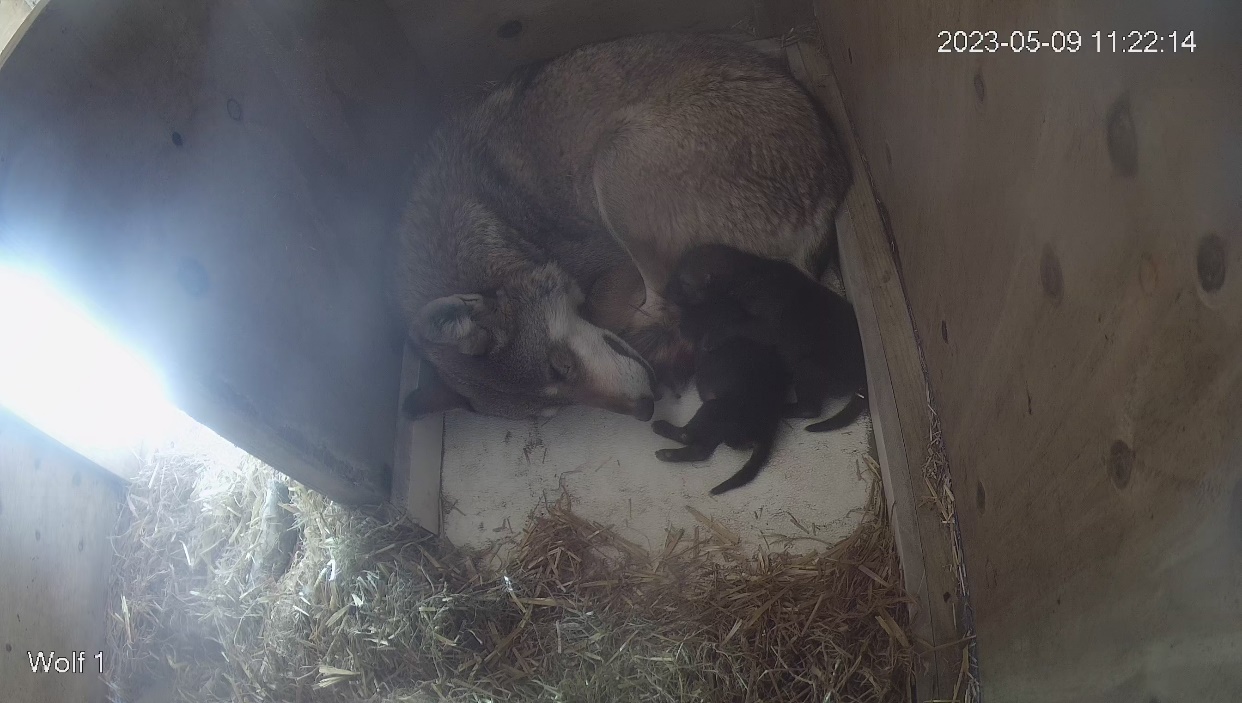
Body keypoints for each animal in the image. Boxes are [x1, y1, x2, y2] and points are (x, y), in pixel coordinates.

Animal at [393, 33, 851, 420]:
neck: (493, 216)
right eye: (557, 410)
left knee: (666, 311)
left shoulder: (612, 267)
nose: (644, 411)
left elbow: (607, 312)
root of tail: (828, 184)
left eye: (560, 367)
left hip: (615, 160)